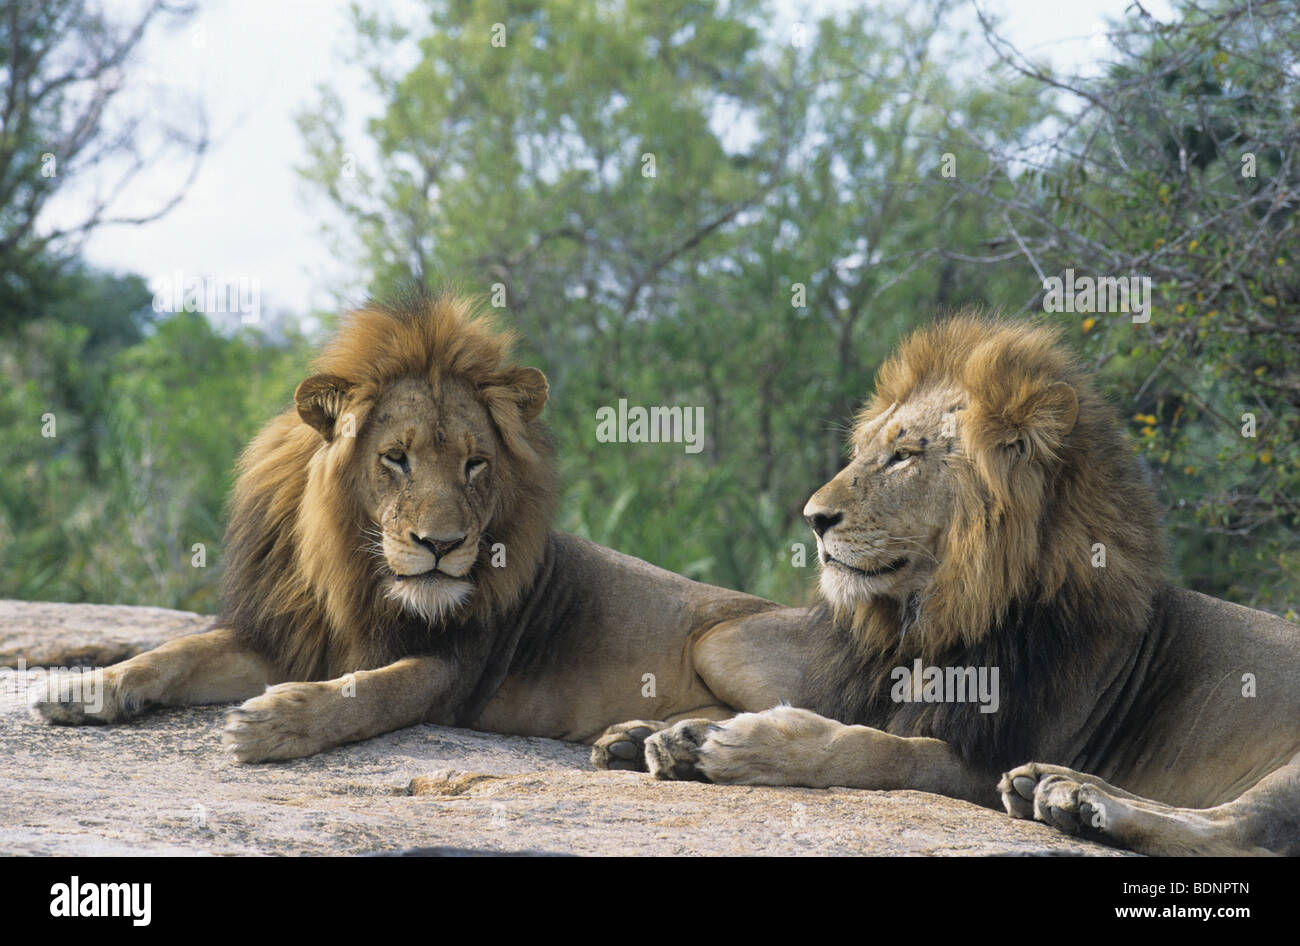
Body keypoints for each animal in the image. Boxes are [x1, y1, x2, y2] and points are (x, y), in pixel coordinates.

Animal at [31, 290, 813, 762]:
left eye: (474, 464)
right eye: (396, 458)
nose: (442, 545)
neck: (351, 576)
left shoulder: (451, 670)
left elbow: (372, 692)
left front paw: (274, 724)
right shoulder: (284, 635)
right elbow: (174, 653)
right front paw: (84, 687)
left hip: (722, 640)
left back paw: (687, 741)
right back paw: (647, 741)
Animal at [632, 314, 1300, 856]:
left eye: (904, 455)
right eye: (864, 449)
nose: (814, 518)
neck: (935, 622)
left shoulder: (981, 760)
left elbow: (885, 751)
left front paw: (742, 743)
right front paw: (666, 735)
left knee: (1234, 831)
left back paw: (1082, 802)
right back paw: (1056, 788)